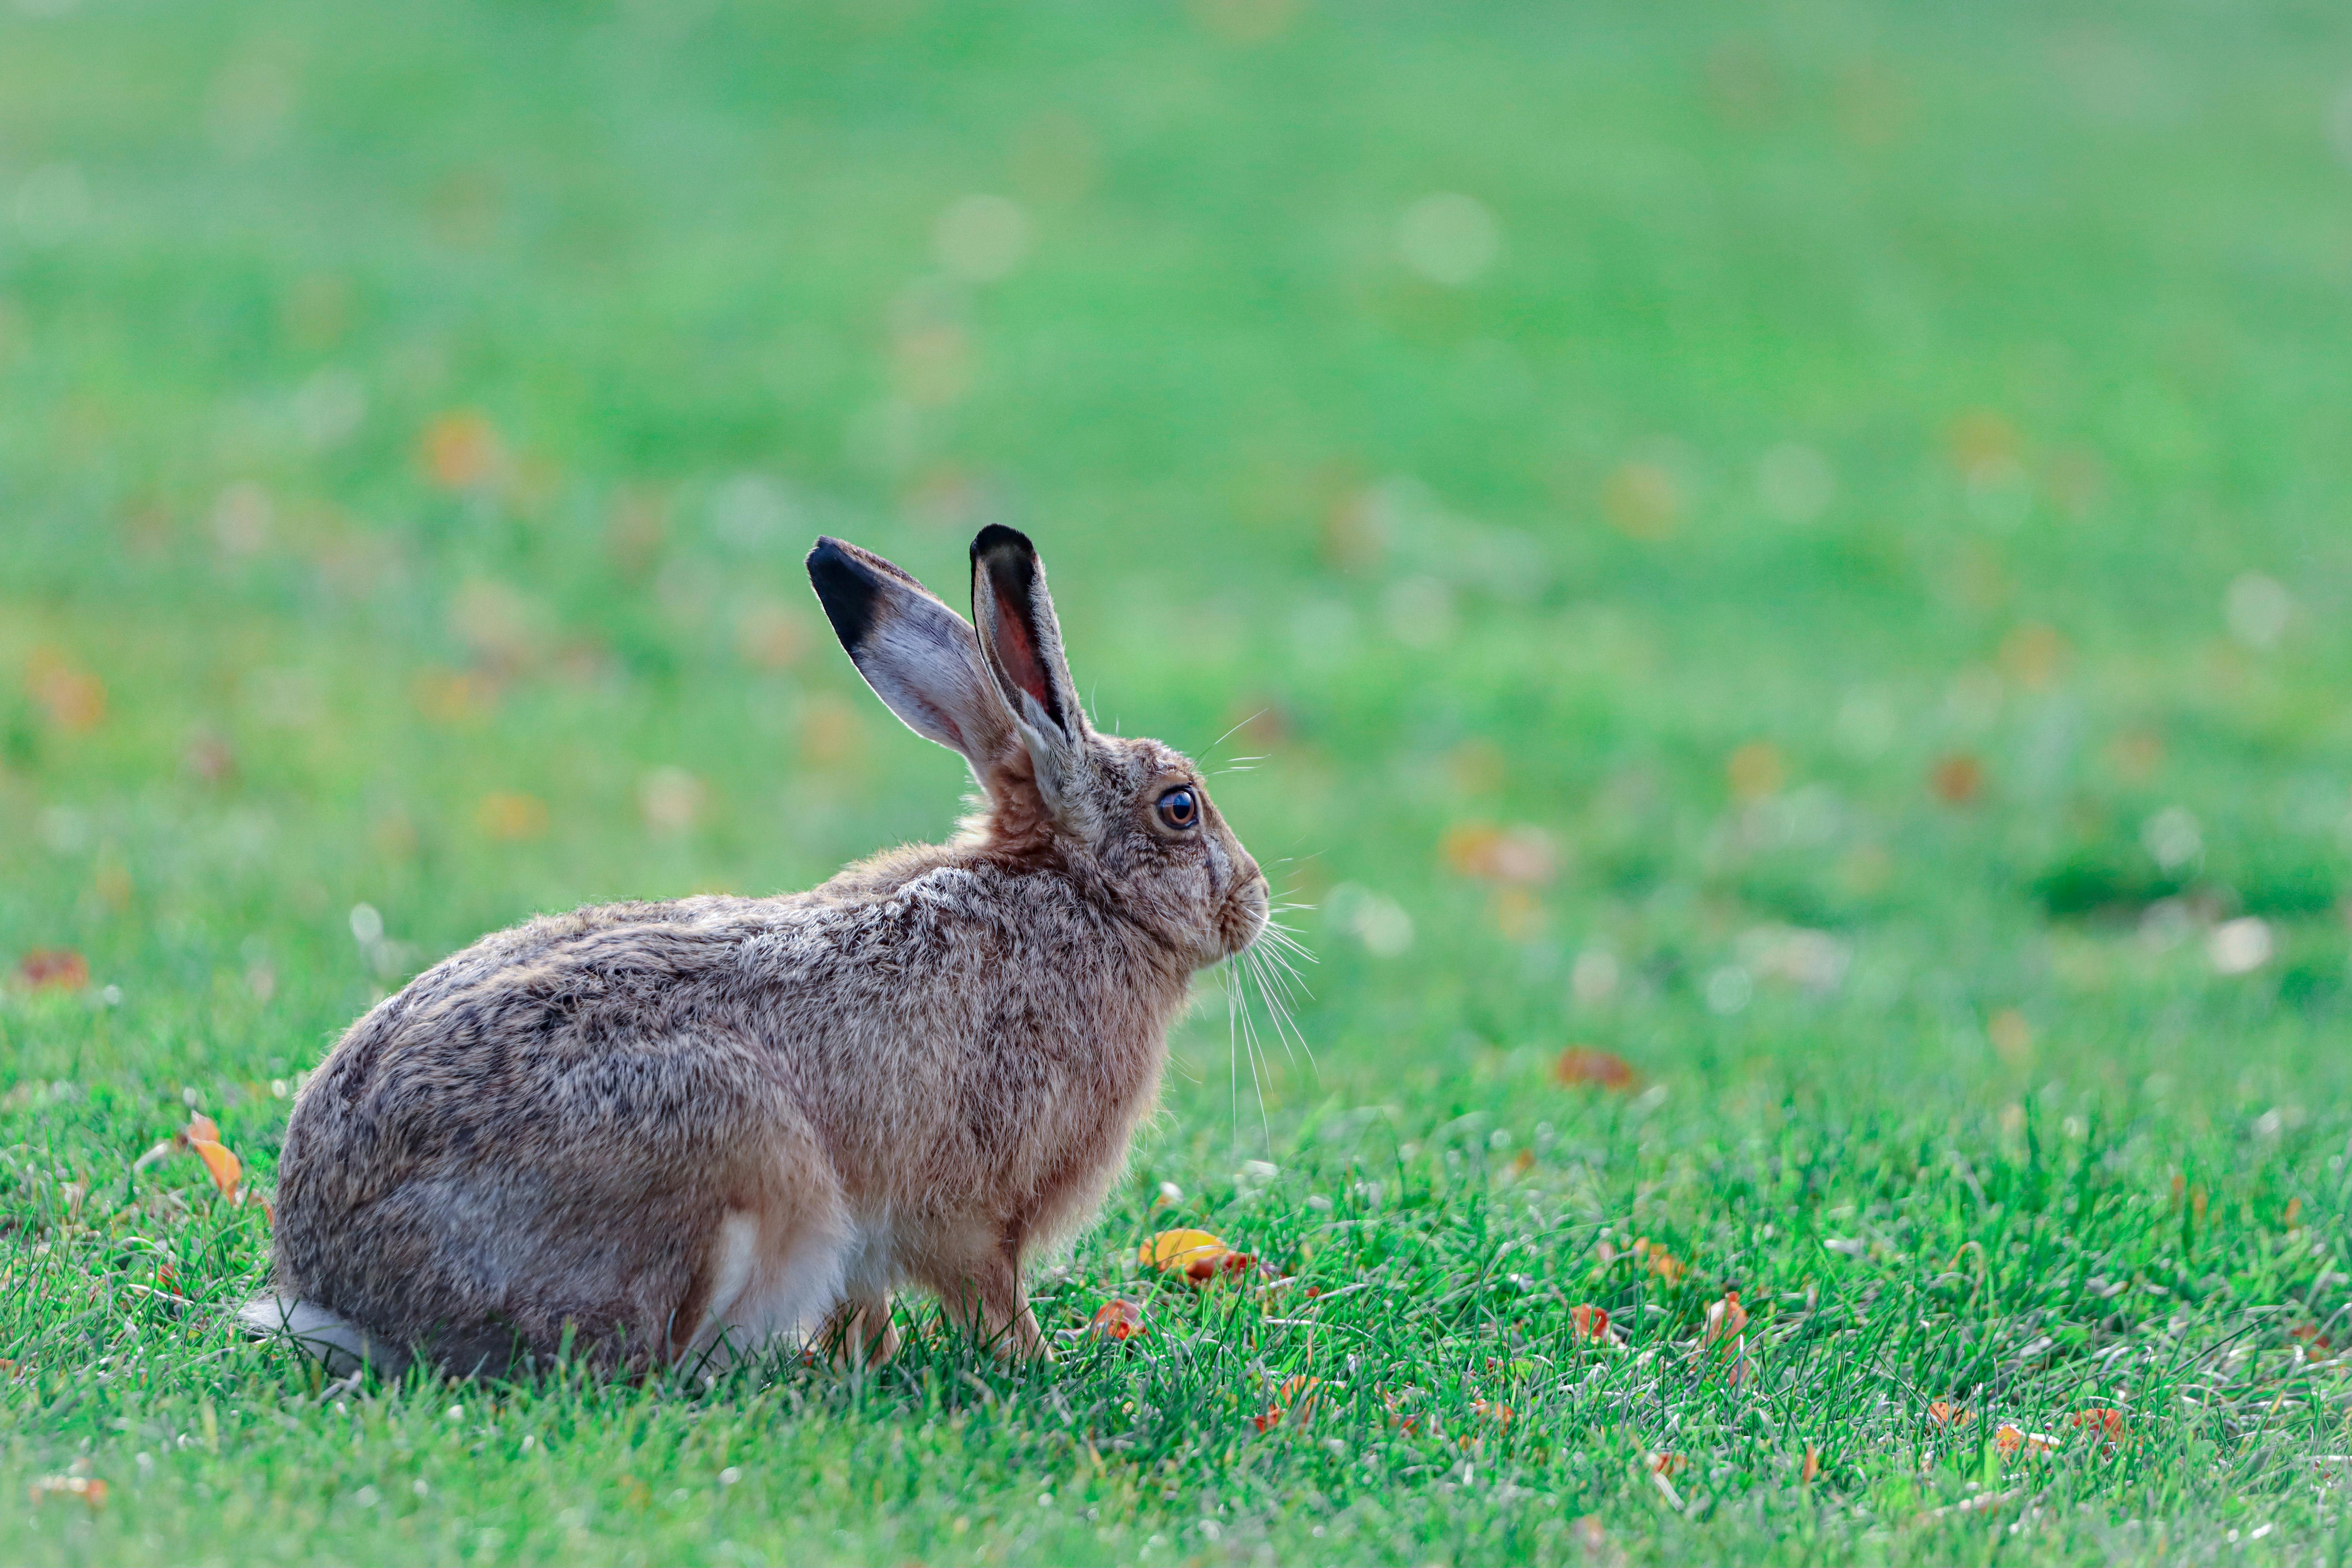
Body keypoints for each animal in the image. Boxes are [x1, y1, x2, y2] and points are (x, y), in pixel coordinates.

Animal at [242, 525, 1268, 1376]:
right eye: (1181, 807)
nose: (1253, 901)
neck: (1081, 893)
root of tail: (350, 1297)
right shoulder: (975, 1212)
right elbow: (990, 1295)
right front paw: (1037, 1367)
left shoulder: (877, 1237)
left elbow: (866, 1305)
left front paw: (868, 1363)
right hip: (741, 1158)